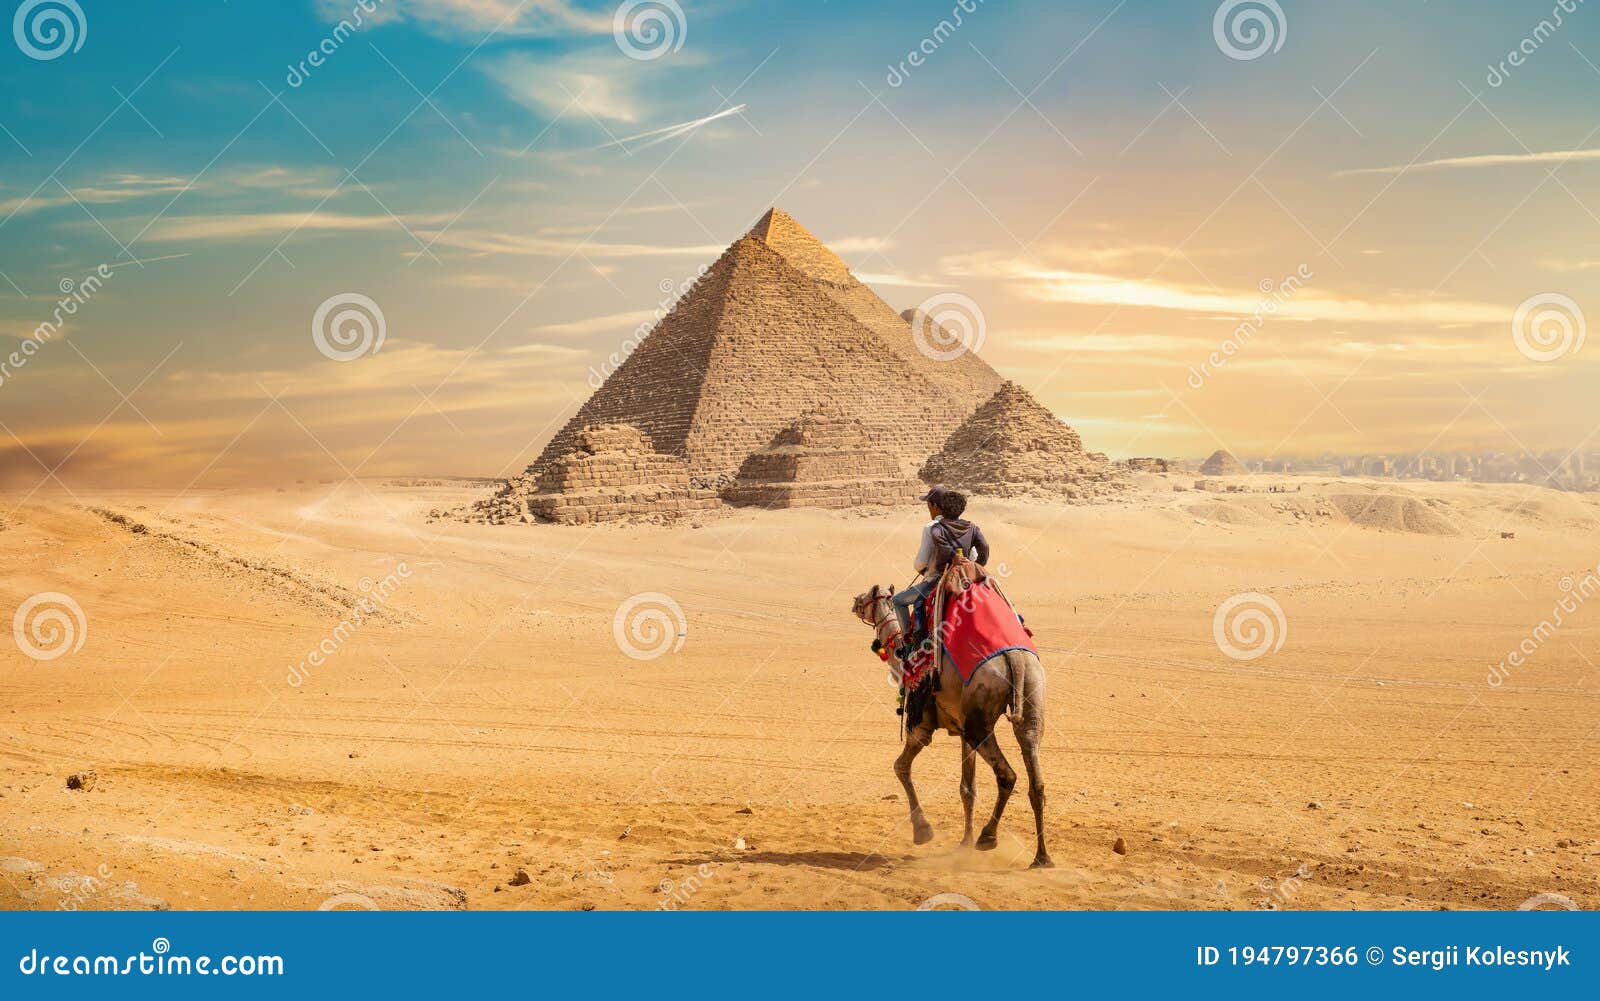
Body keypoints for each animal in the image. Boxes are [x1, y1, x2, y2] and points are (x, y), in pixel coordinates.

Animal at [851, 583, 1053, 869]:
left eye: (868, 595)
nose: (855, 601)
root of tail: (1014, 659)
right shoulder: (962, 731)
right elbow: (967, 788)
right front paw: (964, 843)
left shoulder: (922, 724)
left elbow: (900, 766)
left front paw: (923, 831)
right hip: (1031, 695)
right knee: (1036, 776)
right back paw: (1041, 857)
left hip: (980, 718)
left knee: (1007, 775)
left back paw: (988, 837)